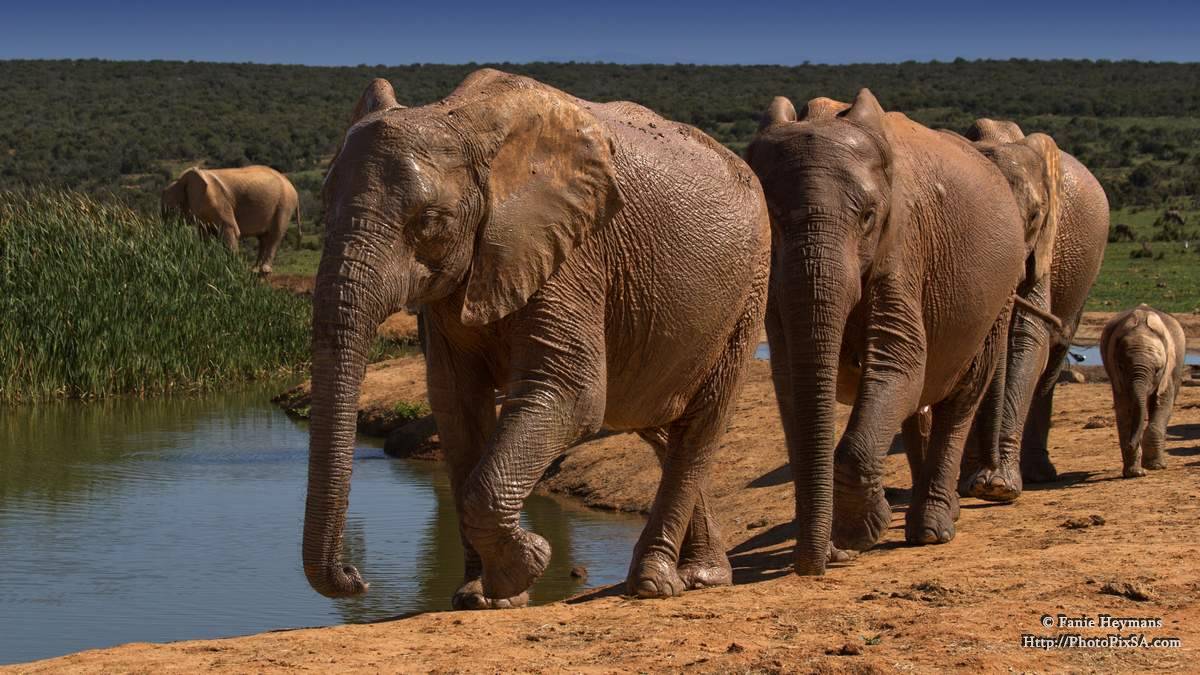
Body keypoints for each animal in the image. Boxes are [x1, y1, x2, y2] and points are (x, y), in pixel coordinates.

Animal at [160, 165, 301, 274]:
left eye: (171, 209)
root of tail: (292, 186)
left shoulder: (220, 202)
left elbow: (230, 230)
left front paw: (232, 270)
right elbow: (204, 236)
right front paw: (207, 264)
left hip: (285, 205)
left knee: (275, 235)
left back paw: (264, 270)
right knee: (263, 238)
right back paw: (254, 271)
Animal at [303, 70, 770, 608]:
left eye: (429, 222)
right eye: (322, 208)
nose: (357, 576)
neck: (463, 121)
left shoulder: (574, 251)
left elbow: (571, 393)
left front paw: (525, 564)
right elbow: (455, 401)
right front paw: (481, 597)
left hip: (750, 288)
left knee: (700, 425)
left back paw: (657, 584)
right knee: (659, 422)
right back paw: (703, 576)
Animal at [745, 90, 1027, 576]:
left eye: (869, 216)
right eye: (772, 217)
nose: (812, 566)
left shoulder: (902, 244)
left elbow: (899, 363)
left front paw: (858, 534)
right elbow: (791, 382)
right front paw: (839, 542)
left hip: (999, 294)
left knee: (963, 393)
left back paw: (931, 531)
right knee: (920, 403)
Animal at [956, 119, 1109, 501]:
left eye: (1036, 215)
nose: (986, 481)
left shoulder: (1045, 245)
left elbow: (1028, 336)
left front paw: (999, 487)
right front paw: (976, 484)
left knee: (1052, 360)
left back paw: (1037, 474)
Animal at [1101, 305, 1186, 478]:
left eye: (1157, 370)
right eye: (1121, 367)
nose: (1131, 444)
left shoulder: (1167, 371)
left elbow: (1163, 401)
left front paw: (1155, 466)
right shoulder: (1116, 375)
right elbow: (1124, 410)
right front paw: (1135, 473)